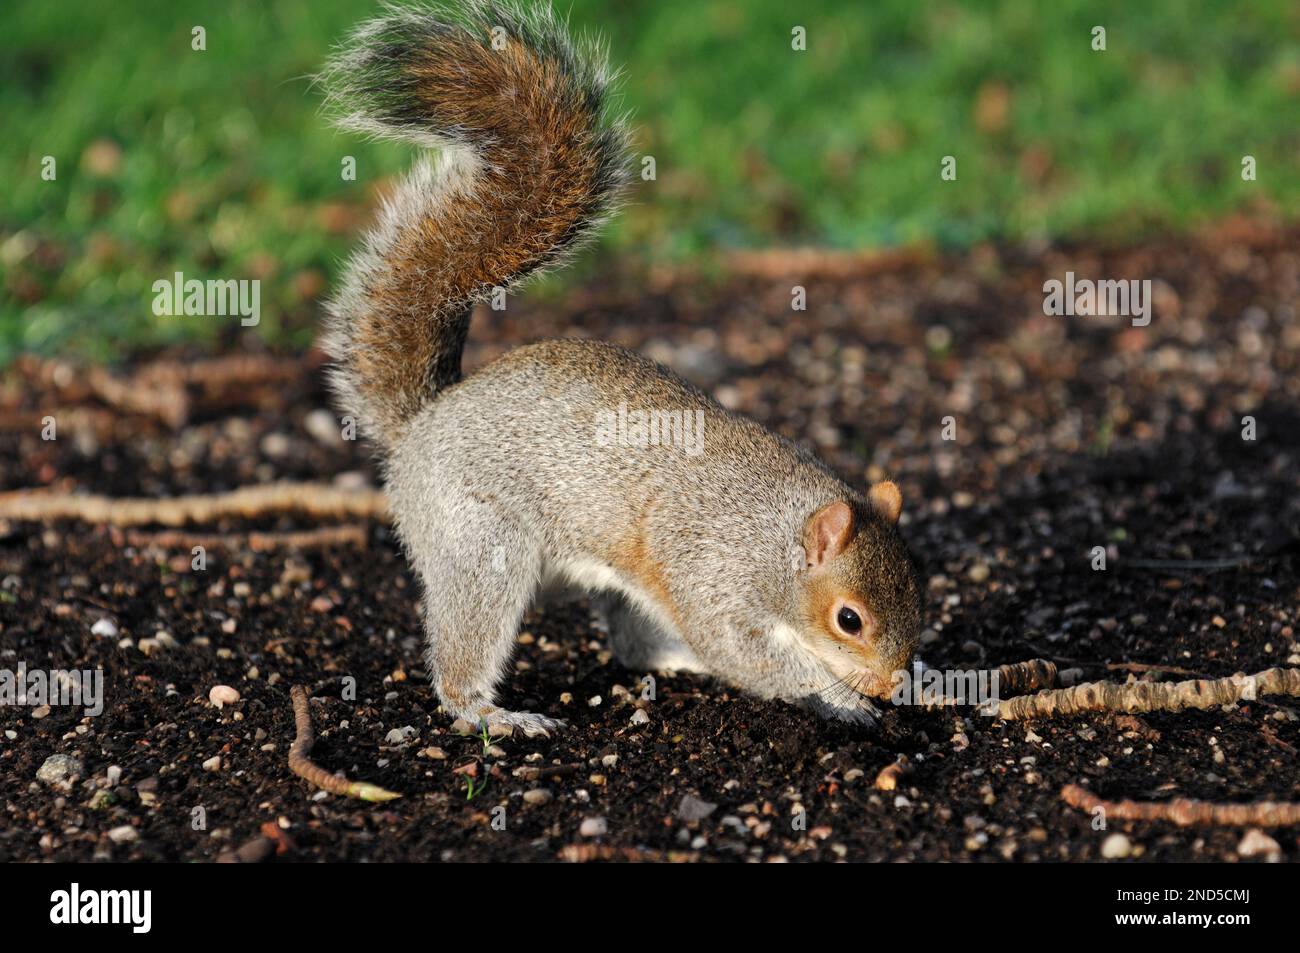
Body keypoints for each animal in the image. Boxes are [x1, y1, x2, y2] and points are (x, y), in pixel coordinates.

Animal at [320, 0, 923, 737]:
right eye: (849, 619)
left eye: (920, 592)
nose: (892, 683)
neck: (773, 535)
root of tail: (421, 424)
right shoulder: (713, 577)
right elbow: (749, 655)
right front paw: (840, 697)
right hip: (482, 540)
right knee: (466, 651)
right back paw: (495, 713)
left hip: (609, 580)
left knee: (634, 643)